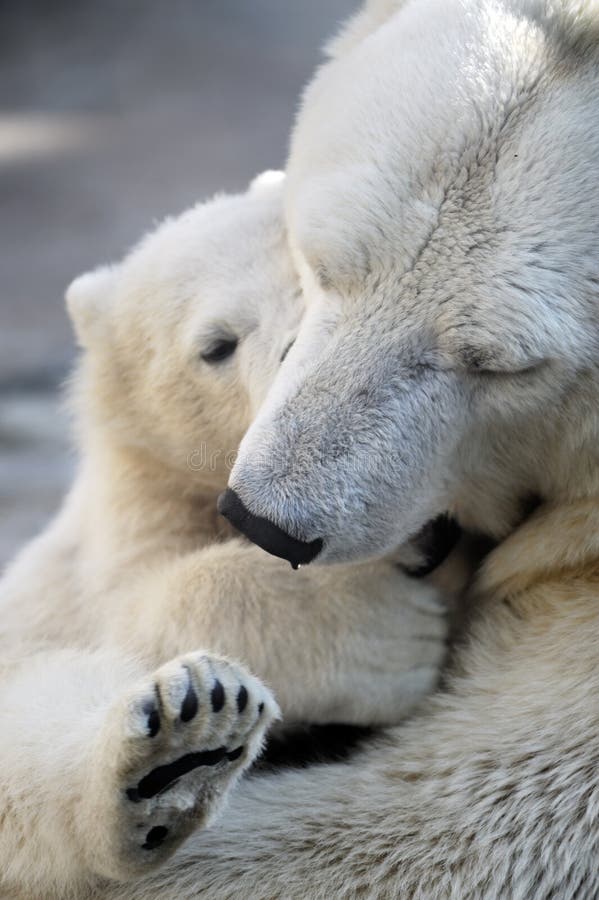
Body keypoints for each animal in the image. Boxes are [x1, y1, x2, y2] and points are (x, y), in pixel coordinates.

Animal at [0, 171, 449, 897]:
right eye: (216, 345)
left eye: (315, 280)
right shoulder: (123, 528)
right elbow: (133, 611)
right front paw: (392, 626)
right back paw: (174, 761)